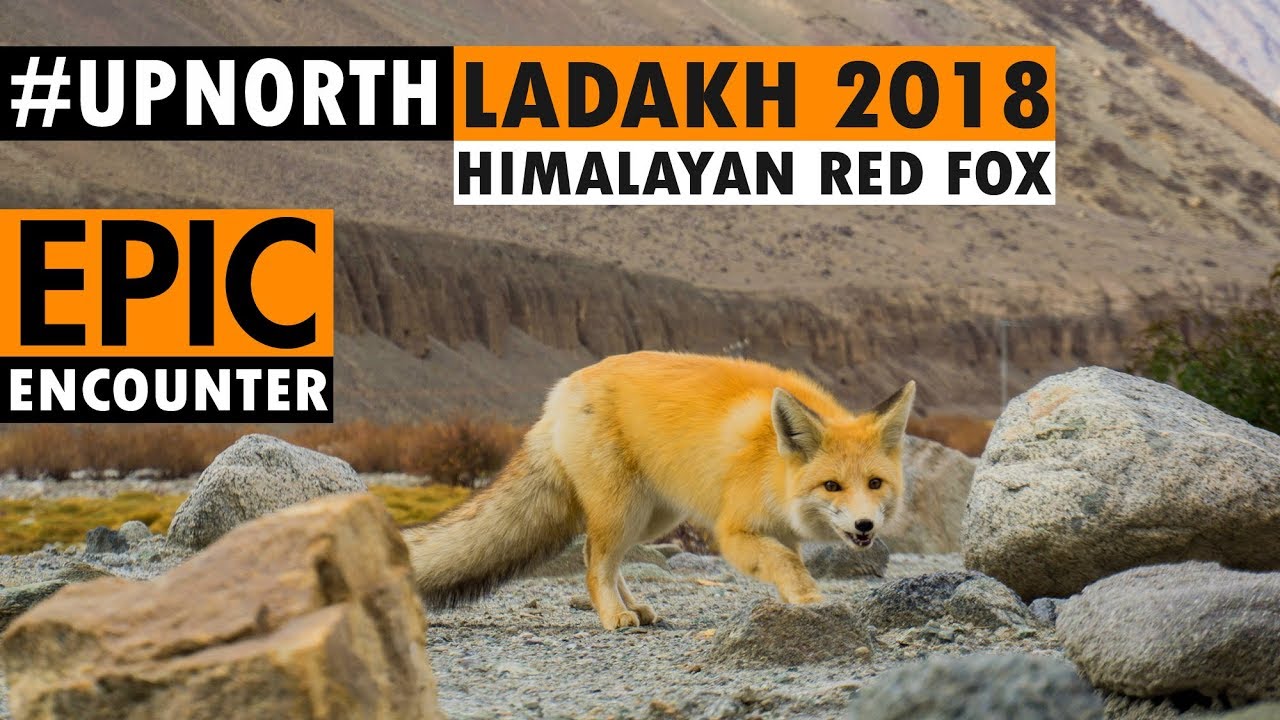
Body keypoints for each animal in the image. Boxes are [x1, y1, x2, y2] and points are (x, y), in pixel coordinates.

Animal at [403, 351, 915, 630]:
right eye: (832, 485)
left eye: (874, 484)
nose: (865, 526)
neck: (771, 464)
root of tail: (560, 392)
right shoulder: (733, 532)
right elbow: (786, 563)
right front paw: (810, 600)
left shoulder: (778, 531)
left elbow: (787, 561)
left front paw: (796, 599)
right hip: (622, 510)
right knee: (596, 563)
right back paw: (613, 615)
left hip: (651, 519)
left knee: (596, 557)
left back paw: (632, 606)